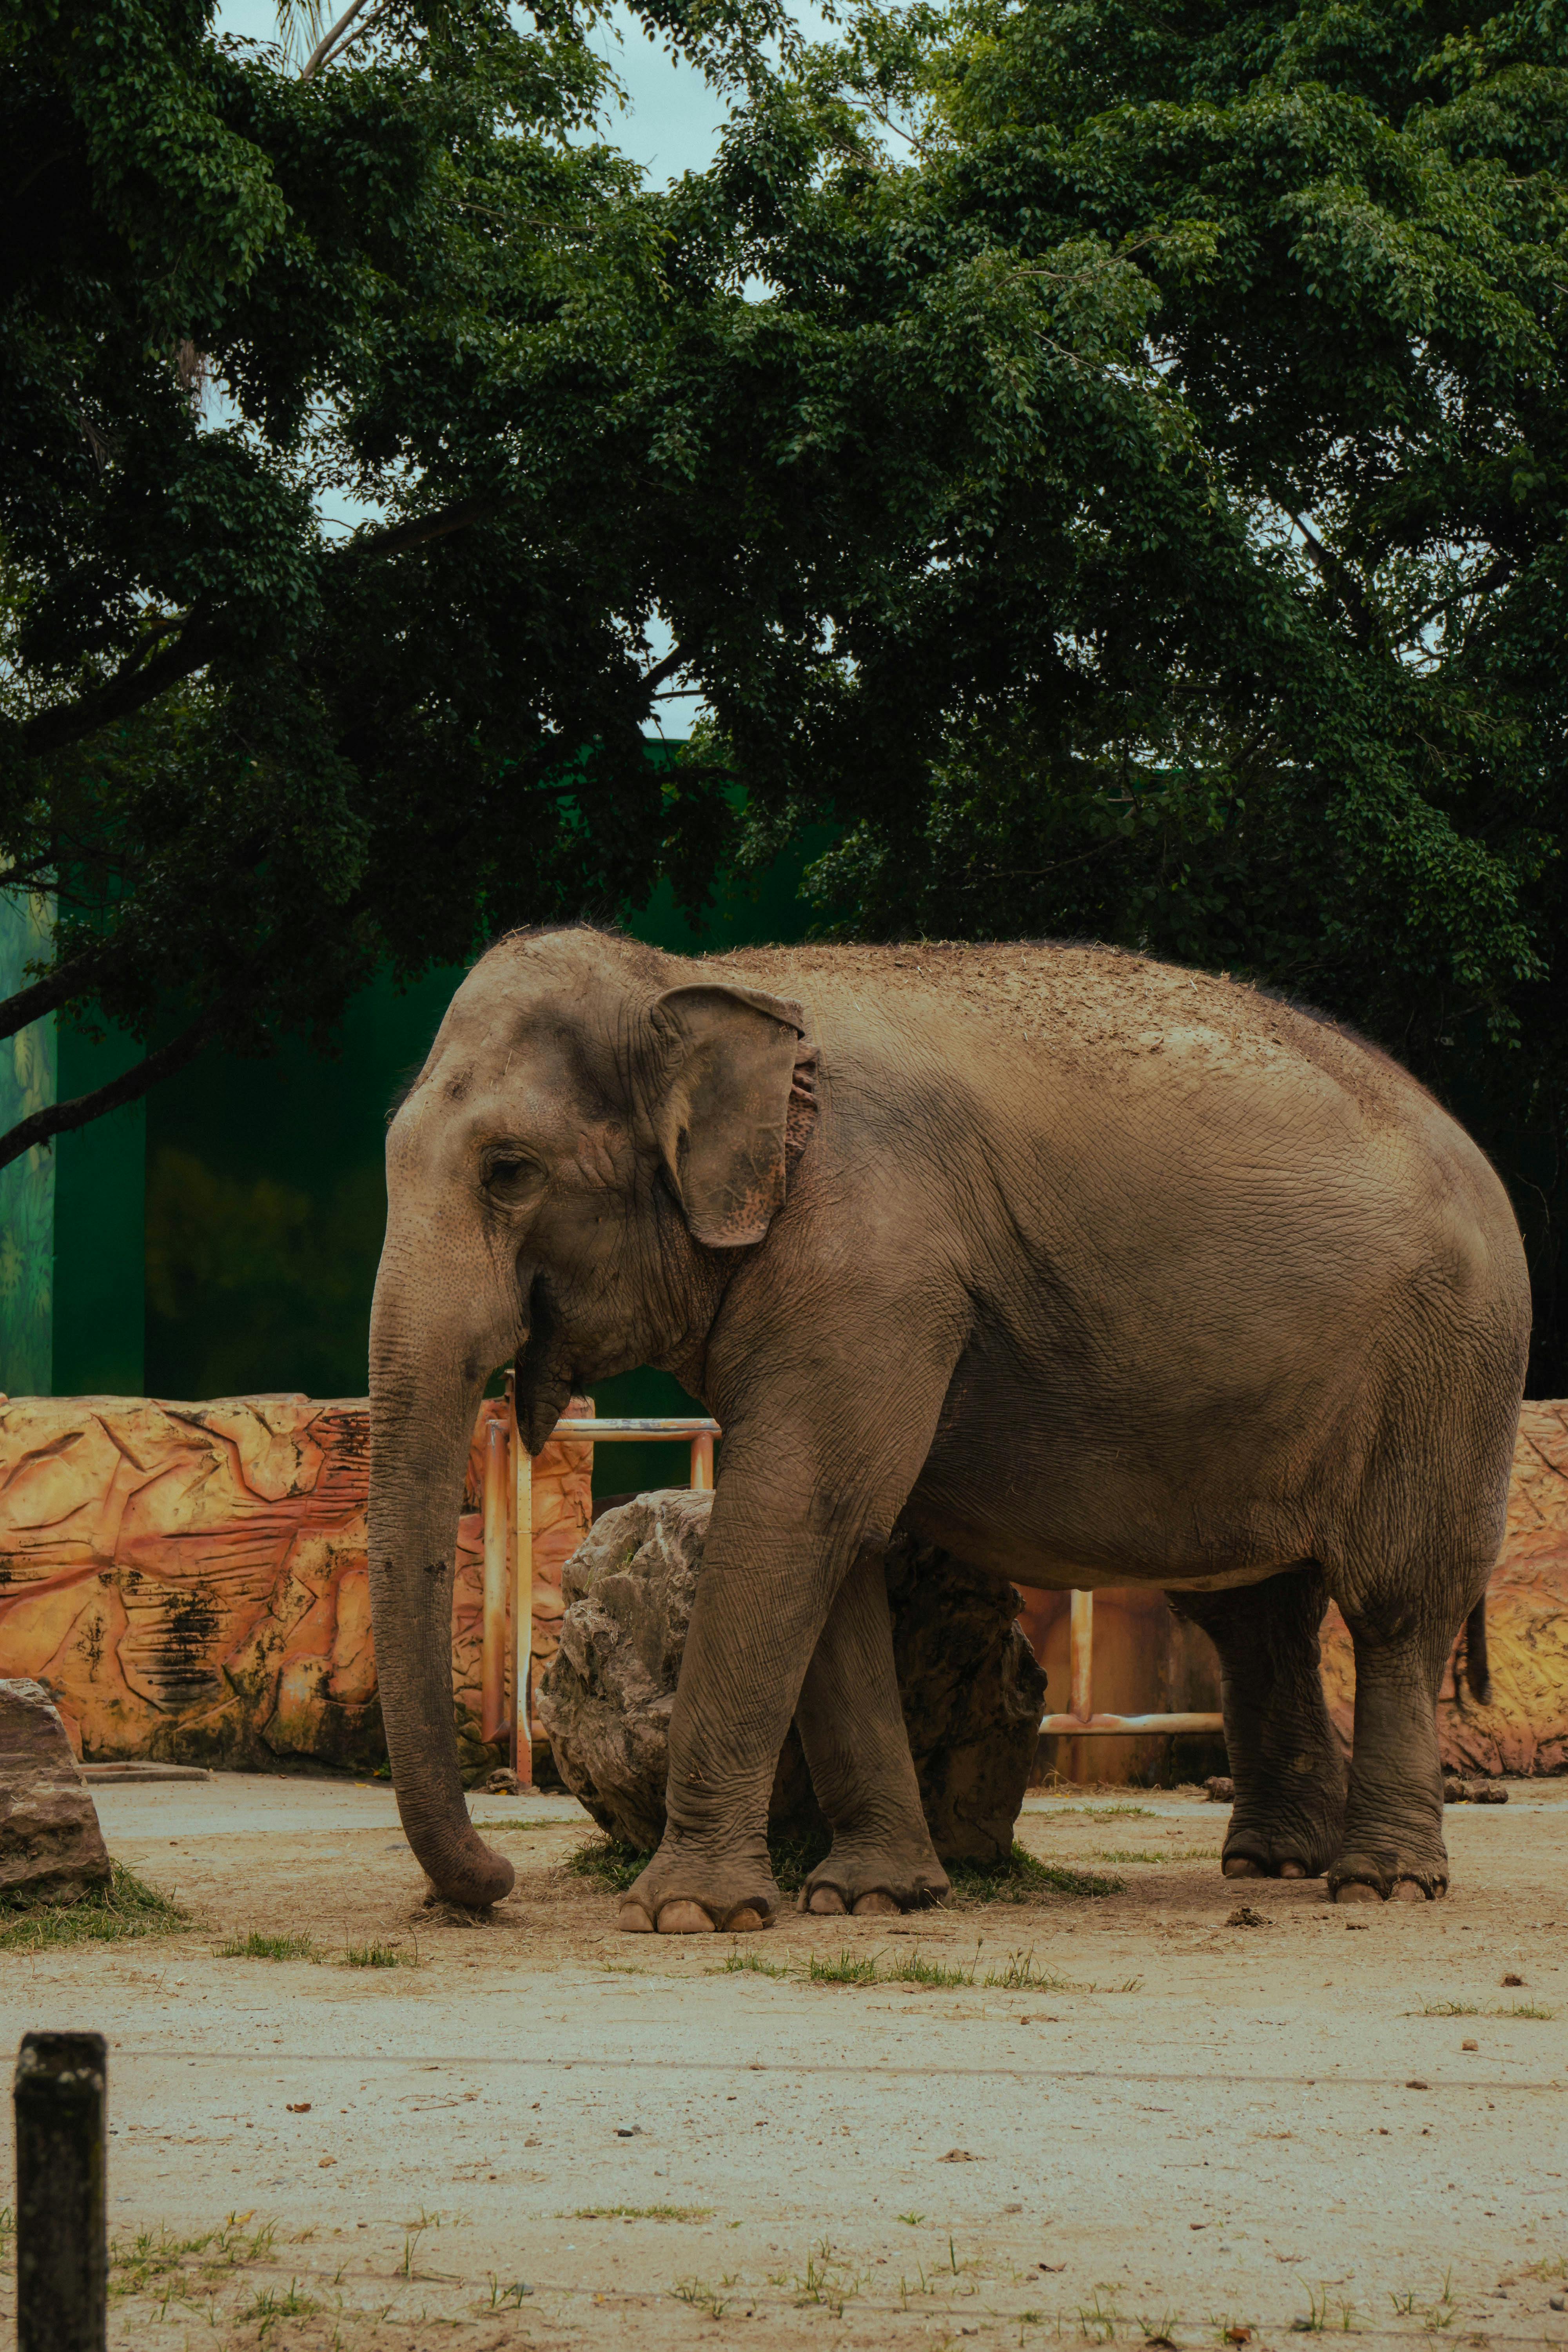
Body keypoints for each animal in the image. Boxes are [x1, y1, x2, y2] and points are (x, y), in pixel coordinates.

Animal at [367, 926, 1530, 1926]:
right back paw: (1272, 1864)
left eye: (509, 1171)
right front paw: (872, 1898)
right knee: (1255, 1617)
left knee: (1395, 1607)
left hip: (1447, 1371)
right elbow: (834, 1548)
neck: (697, 977)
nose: (495, 1880)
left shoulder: (875, 1262)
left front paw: (687, 1914)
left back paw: (1379, 1882)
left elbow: (793, 1518)